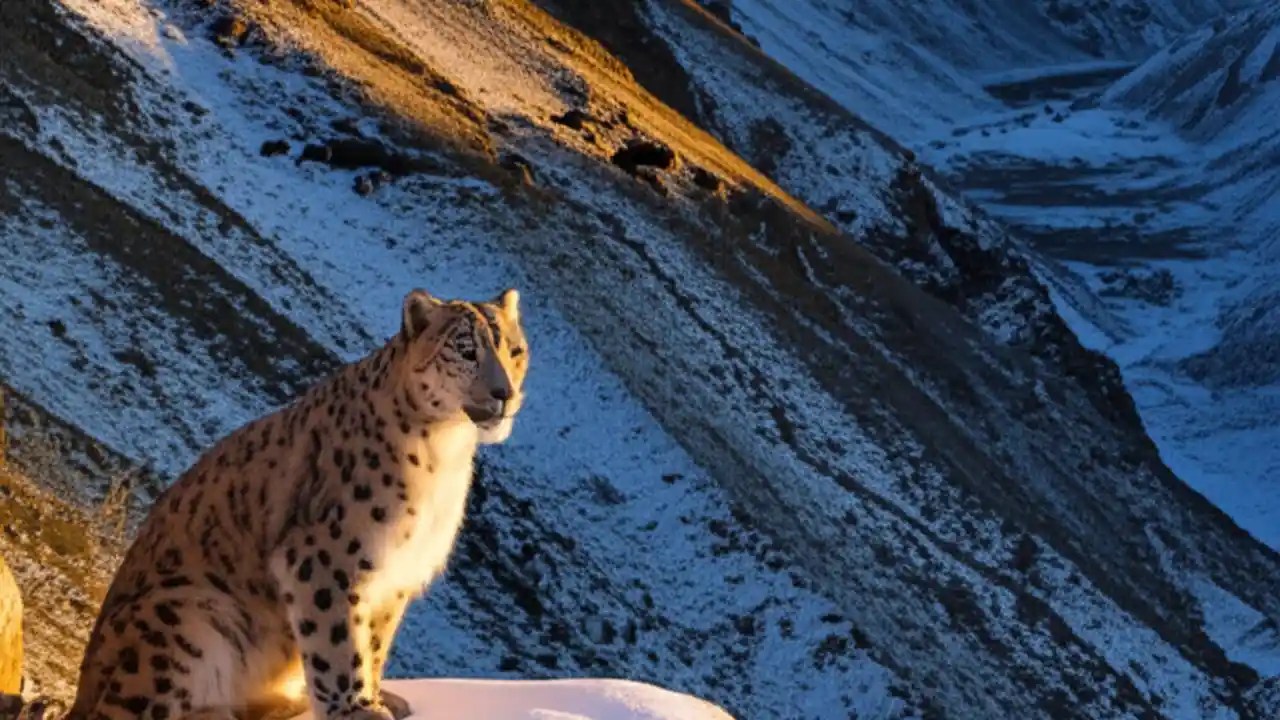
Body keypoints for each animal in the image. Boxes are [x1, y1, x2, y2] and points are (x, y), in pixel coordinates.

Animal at [67, 287, 529, 720]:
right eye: (465, 349)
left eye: (516, 350)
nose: (503, 393)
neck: (447, 452)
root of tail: (80, 696)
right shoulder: (327, 558)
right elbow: (339, 643)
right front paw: (357, 708)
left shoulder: (397, 575)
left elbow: (375, 643)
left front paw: (378, 696)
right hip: (188, 614)